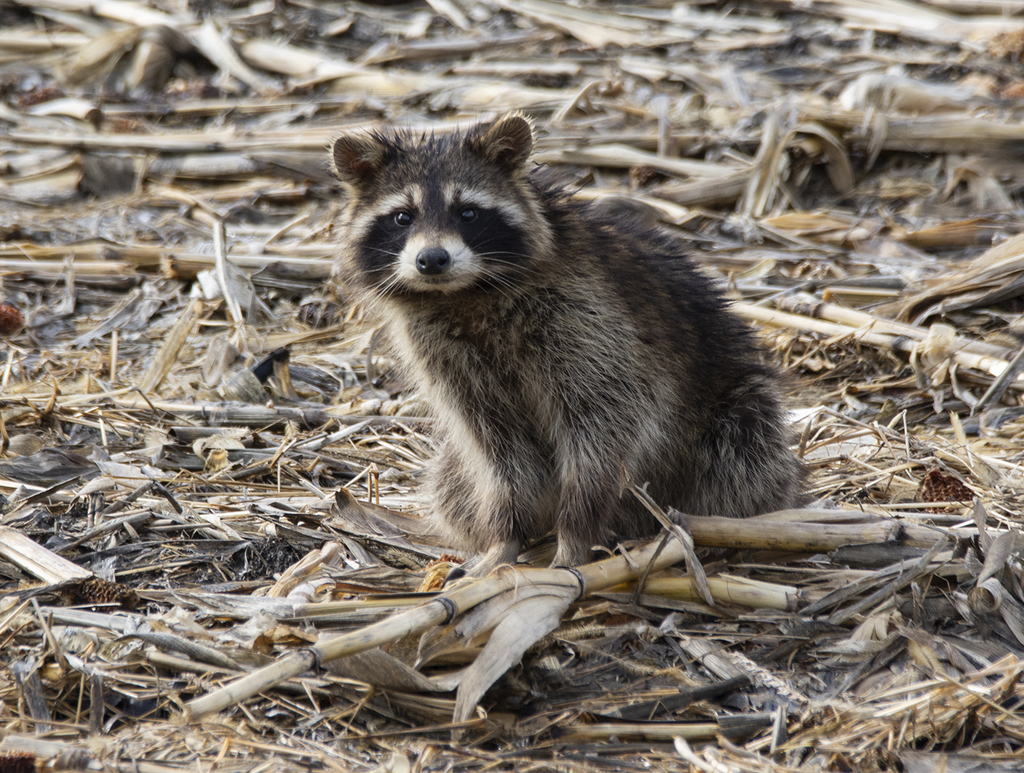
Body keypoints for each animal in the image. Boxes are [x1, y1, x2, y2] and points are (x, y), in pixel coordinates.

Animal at [331, 113, 803, 573]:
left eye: (467, 213)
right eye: (402, 217)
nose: (432, 260)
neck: (463, 294)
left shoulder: (590, 323)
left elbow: (605, 425)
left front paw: (576, 532)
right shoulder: (446, 354)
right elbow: (496, 447)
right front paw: (506, 536)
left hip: (739, 415)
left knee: (741, 448)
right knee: (452, 480)